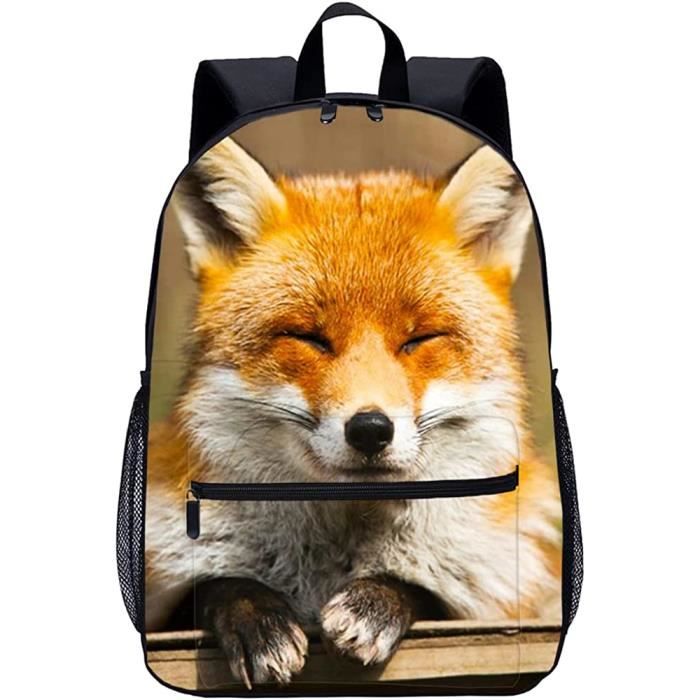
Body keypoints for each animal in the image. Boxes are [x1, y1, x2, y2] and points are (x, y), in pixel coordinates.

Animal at [145, 136, 562, 687]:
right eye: (309, 338)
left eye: (419, 339)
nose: (370, 429)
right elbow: (215, 585)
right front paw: (255, 616)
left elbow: (433, 595)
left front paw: (379, 601)